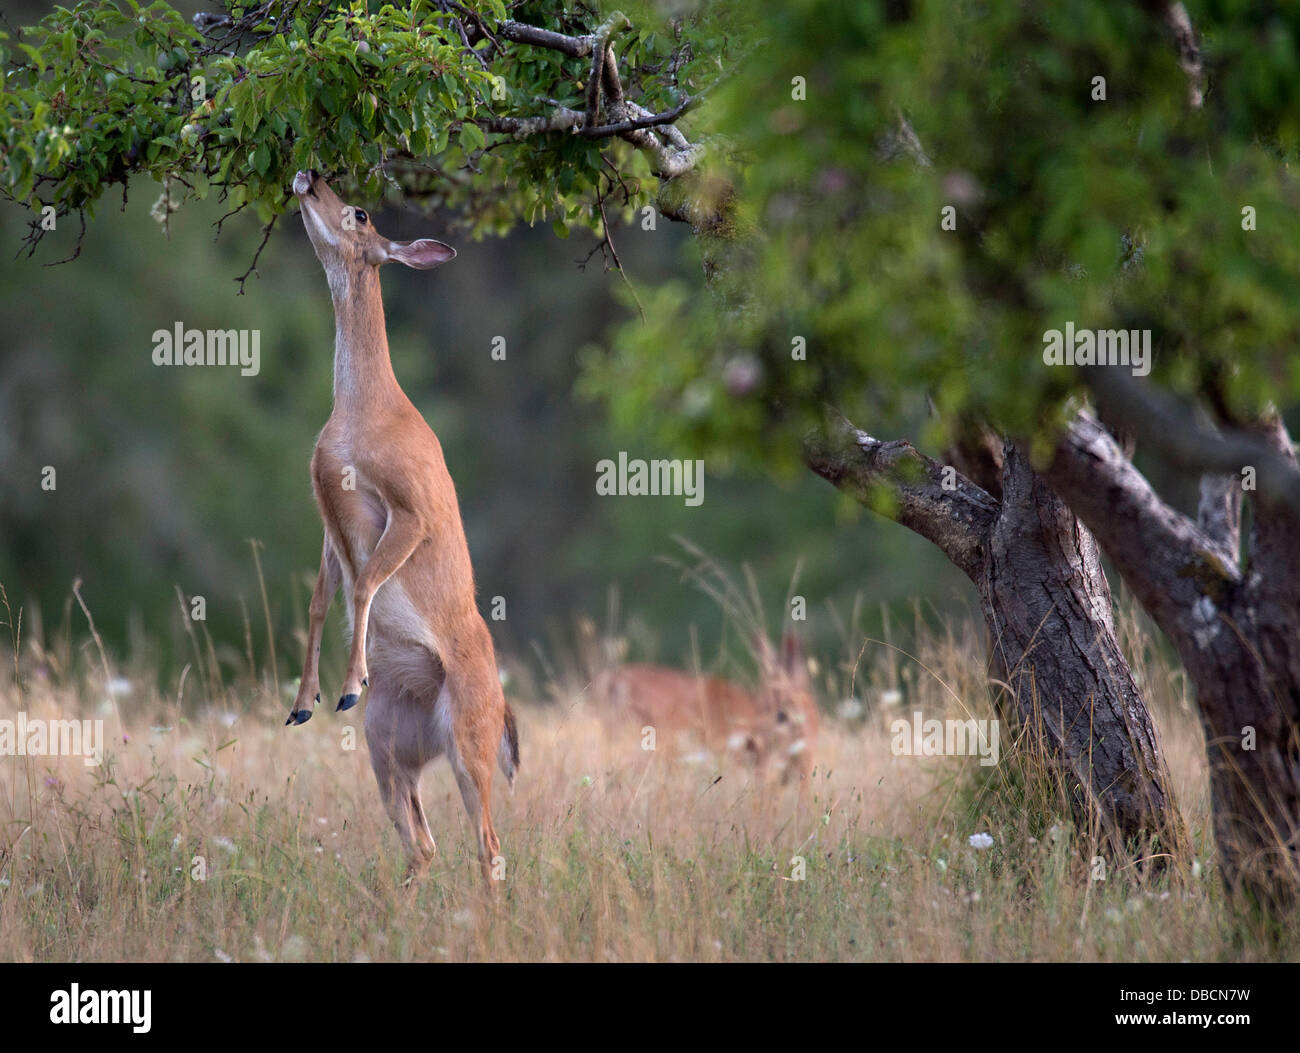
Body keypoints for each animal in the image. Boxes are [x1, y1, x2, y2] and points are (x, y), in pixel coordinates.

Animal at [284, 169, 519, 887]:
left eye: (360, 212)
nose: (308, 174)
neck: (364, 413)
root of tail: (505, 712)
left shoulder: (410, 507)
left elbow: (365, 585)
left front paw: (348, 685)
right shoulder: (326, 521)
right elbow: (319, 602)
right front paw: (303, 702)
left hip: (470, 741)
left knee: (489, 847)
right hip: (389, 749)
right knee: (425, 843)